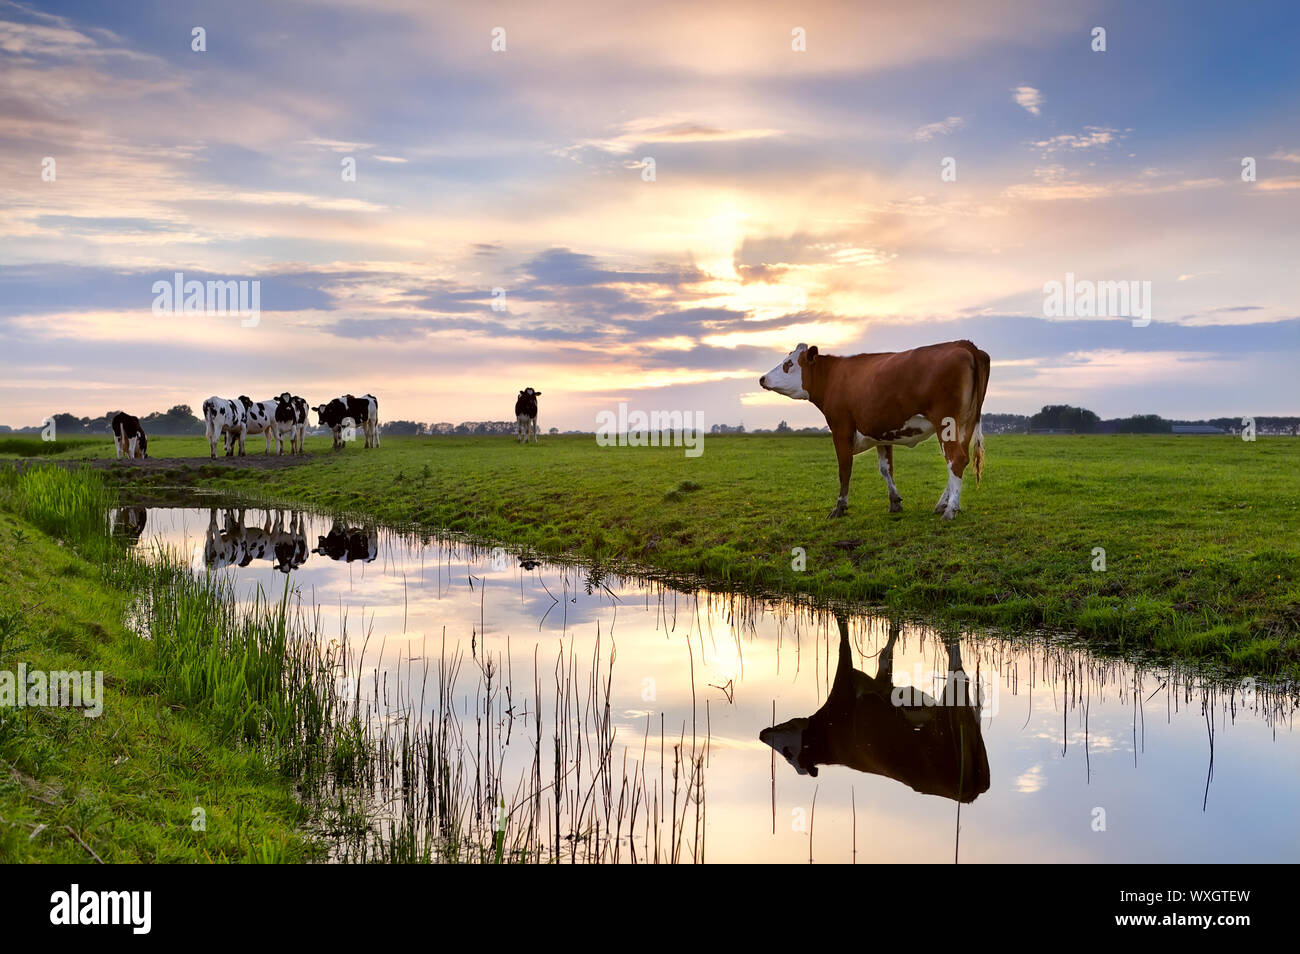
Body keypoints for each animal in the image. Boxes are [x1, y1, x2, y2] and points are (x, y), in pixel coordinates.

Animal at [759, 340, 990, 520]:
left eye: (788, 364)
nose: (762, 378)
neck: (833, 376)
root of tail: (963, 344)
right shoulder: (882, 433)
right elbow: (886, 468)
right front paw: (895, 502)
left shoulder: (841, 428)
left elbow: (844, 469)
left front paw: (839, 507)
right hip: (965, 425)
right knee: (961, 459)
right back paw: (943, 504)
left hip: (946, 423)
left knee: (955, 460)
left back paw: (950, 509)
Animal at [760, 615, 990, 804]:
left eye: (788, 753)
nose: (762, 735)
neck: (829, 736)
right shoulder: (880, 685)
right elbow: (885, 656)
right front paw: (895, 628)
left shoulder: (843, 683)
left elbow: (844, 635)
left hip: (951, 713)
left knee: (957, 670)